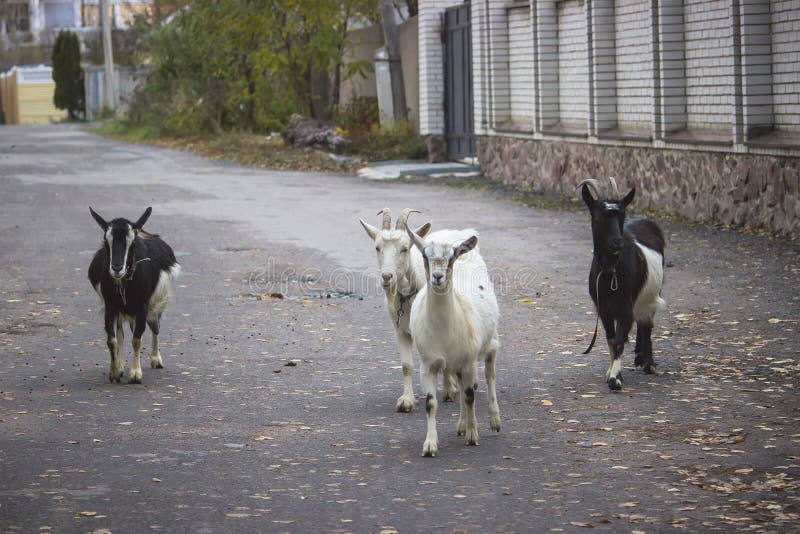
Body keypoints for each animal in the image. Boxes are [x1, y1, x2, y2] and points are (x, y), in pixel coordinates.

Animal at [88, 207, 181, 384]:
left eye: (132, 242)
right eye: (106, 241)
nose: (117, 268)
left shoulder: (143, 306)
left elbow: (137, 340)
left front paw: (136, 374)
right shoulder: (110, 305)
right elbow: (112, 340)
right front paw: (115, 372)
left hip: (155, 304)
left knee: (155, 326)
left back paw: (156, 359)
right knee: (121, 332)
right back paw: (121, 364)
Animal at [360, 208, 465, 411]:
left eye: (405, 248)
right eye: (377, 247)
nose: (387, 277)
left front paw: (448, 390)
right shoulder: (400, 330)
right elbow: (406, 365)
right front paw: (406, 401)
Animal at [406, 226, 500, 457]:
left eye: (451, 258)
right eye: (425, 256)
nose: (438, 277)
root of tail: (456, 233)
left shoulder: (468, 361)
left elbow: (469, 396)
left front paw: (473, 437)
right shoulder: (428, 364)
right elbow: (431, 404)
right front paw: (430, 445)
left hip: (491, 341)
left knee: (490, 375)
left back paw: (494, 420)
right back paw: (461, 425)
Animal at [580, 178, 666, 391]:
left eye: (622, 215)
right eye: (598, 216)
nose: (617, 242)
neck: (611, 271)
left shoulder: (626, 307)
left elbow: (619, 341)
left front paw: (615, 379)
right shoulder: (604, 310)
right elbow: (611, 340)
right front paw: (610, 371)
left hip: (653, 293)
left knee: (647, 324)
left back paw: (648, 364)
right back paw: (639, 358)